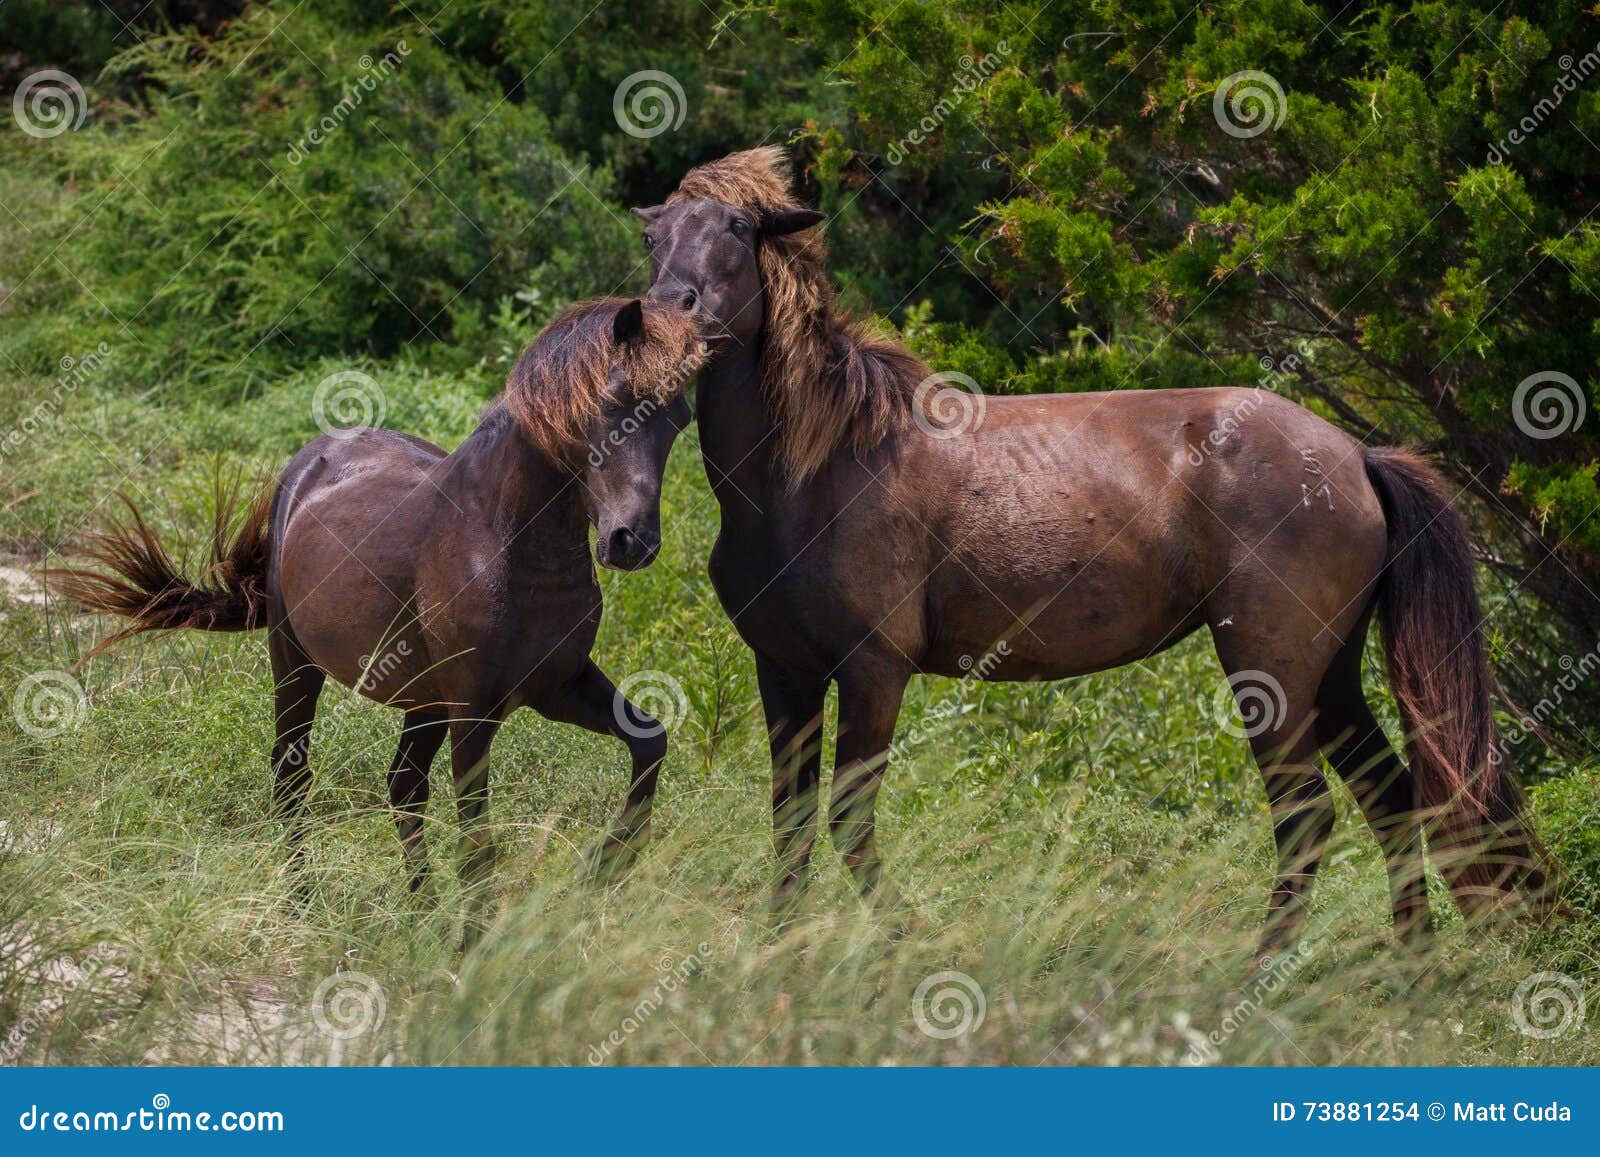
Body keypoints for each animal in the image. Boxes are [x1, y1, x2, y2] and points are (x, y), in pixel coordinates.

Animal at [47, 298, 707, 929]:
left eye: (680, 418)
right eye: (614, 402)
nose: (632, 542)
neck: (500, 539)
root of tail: (311, 461)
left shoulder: (557, 686)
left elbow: (648, 741)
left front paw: (605, 867)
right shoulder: (476, 711)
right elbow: (476, 845)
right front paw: (477, 948)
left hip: (423, 701)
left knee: (403, 788)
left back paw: (420, 915)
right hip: (296, 663)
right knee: (293, 777)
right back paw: (304, 904)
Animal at [631, 146, 1549, 956]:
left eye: (739, 227)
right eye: (657, 233)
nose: (671, 312)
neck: (816, 467)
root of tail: (1358, 454)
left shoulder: (872, 669)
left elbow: (847, 822)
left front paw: (909, 944)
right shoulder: (784, 670)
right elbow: (790, 822)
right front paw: (778, 953)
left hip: (1274, 671)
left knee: (1307, 816)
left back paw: (1264, 974)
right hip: (1331, 673)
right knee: (1392, 803)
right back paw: (1408, 970)